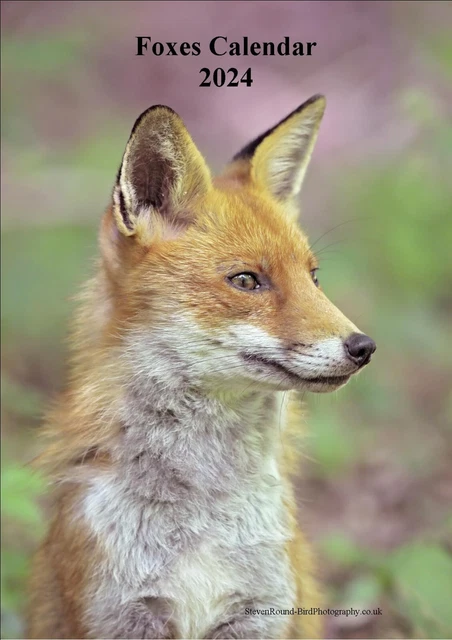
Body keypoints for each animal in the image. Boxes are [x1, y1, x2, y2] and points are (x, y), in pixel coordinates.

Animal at [26, 94, 376, 640]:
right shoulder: (123, 615)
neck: (202, 524)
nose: (363, 347)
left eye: (314, 277)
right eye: (247, 280)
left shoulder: (259, 613)